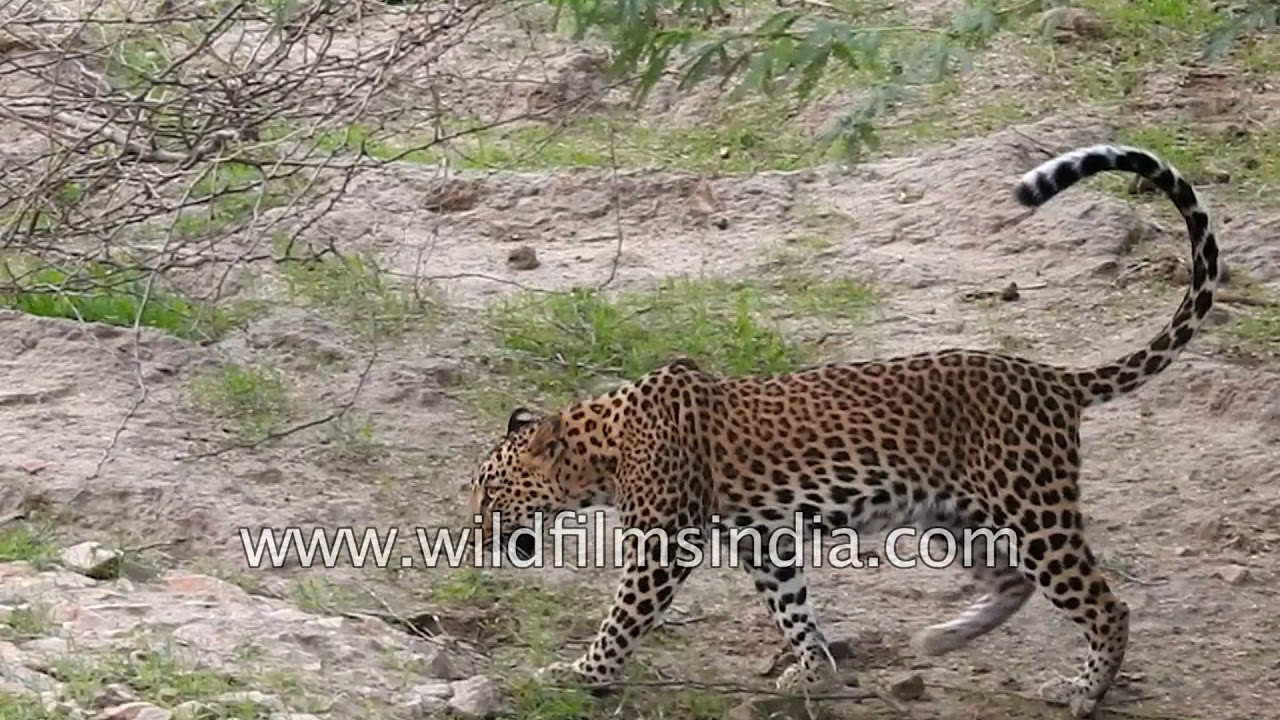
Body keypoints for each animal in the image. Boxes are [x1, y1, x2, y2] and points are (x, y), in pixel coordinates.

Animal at [463, 143, 1220, 718]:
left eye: (489, 493)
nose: (471, 535)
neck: (605, 446)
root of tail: (1055, 378)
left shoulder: (664, 544)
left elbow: (623, 615)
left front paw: (580, 674)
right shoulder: (762, 540)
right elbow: (792, 608)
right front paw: (813, 672)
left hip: (1033, 510)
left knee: (1104, 605)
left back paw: (1083, 692)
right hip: (956, 517)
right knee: (1012, 582)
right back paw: (941, 640)